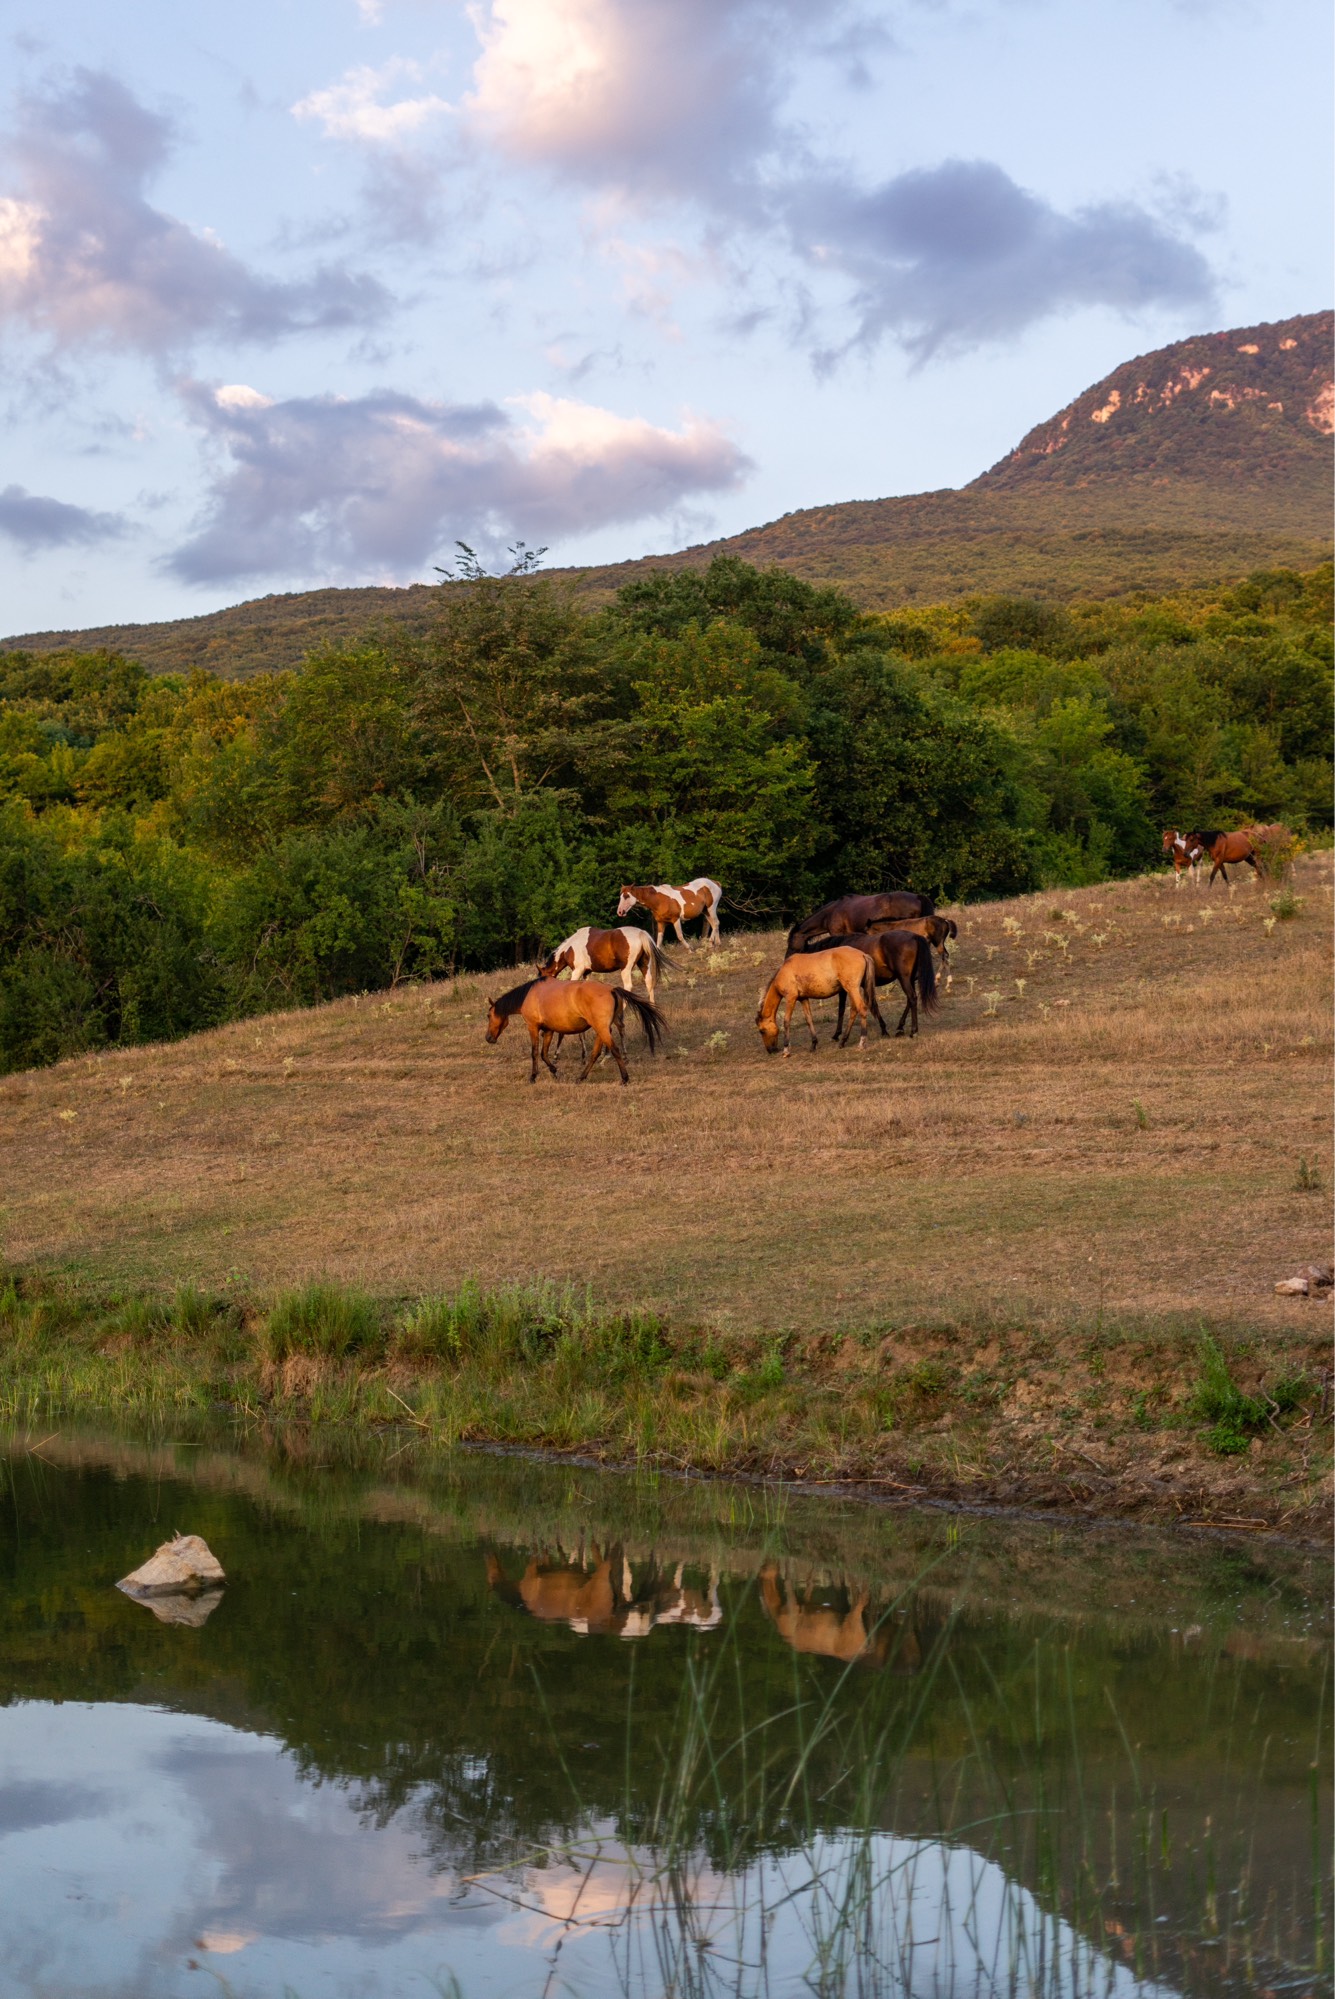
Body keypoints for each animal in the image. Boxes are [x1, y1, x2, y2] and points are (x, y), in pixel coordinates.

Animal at [481, 975, 663, 1087]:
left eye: (488, 1015)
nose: (488, 1038)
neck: (529, 995)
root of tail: (611, 989)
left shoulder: (533, 1027)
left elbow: (535, 1053)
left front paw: (533, 1076)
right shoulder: (549, 1030)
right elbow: (544, 1054)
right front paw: (555, 1072)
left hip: (603, 1030)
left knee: (615, 1050)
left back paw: (624, 1079)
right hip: (602, 1030)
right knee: (594, 1054)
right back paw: (581, 1078)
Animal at [535, 927, 667, 1007]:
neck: (570, 947)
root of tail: (640, 933)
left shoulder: (577, 971)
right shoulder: (586, 972)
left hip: (626, 969)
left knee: (628, 986)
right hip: (644, 964)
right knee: (649, 982)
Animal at [803, 927, 939, 1039]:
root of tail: (914, 936)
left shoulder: (845, 989)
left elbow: (842, 1009)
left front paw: (837, 1034)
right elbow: (873, 1004)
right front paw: (884, 1029)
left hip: (904, 979)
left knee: (912, 998)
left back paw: (913, 1031)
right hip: (909, 979)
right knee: (910, 1000)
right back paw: (900, 1028)